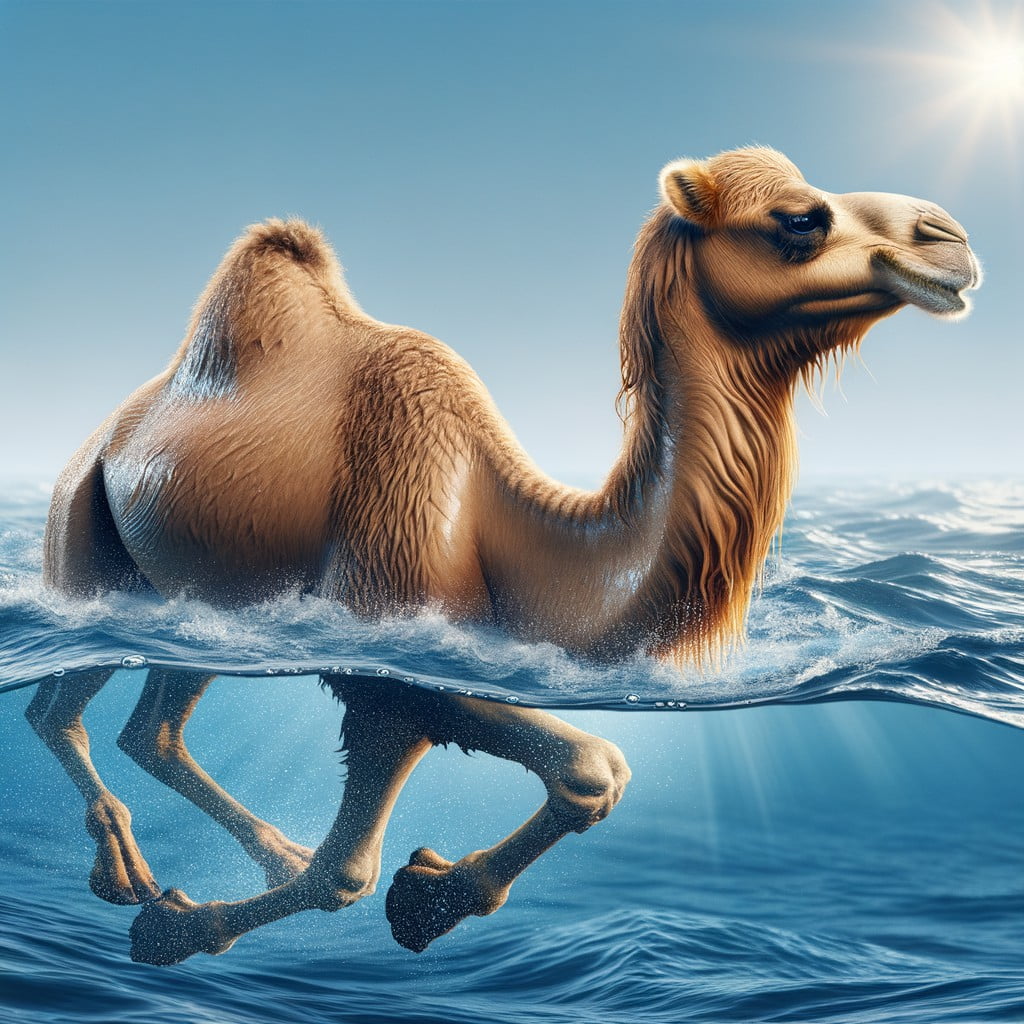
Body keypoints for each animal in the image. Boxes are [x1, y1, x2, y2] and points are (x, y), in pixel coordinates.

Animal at [30, 146, 979, 965]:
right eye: (800, 219)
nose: (951, 241)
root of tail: (101, 441)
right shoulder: (385, 650)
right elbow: (359, 868)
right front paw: (177, 930)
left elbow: (595, 777)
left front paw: (428, 895)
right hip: (86, 548)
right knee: (58, 708)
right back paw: (126, 872)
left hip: (201, 604)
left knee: (150, 730)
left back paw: (244, 852)